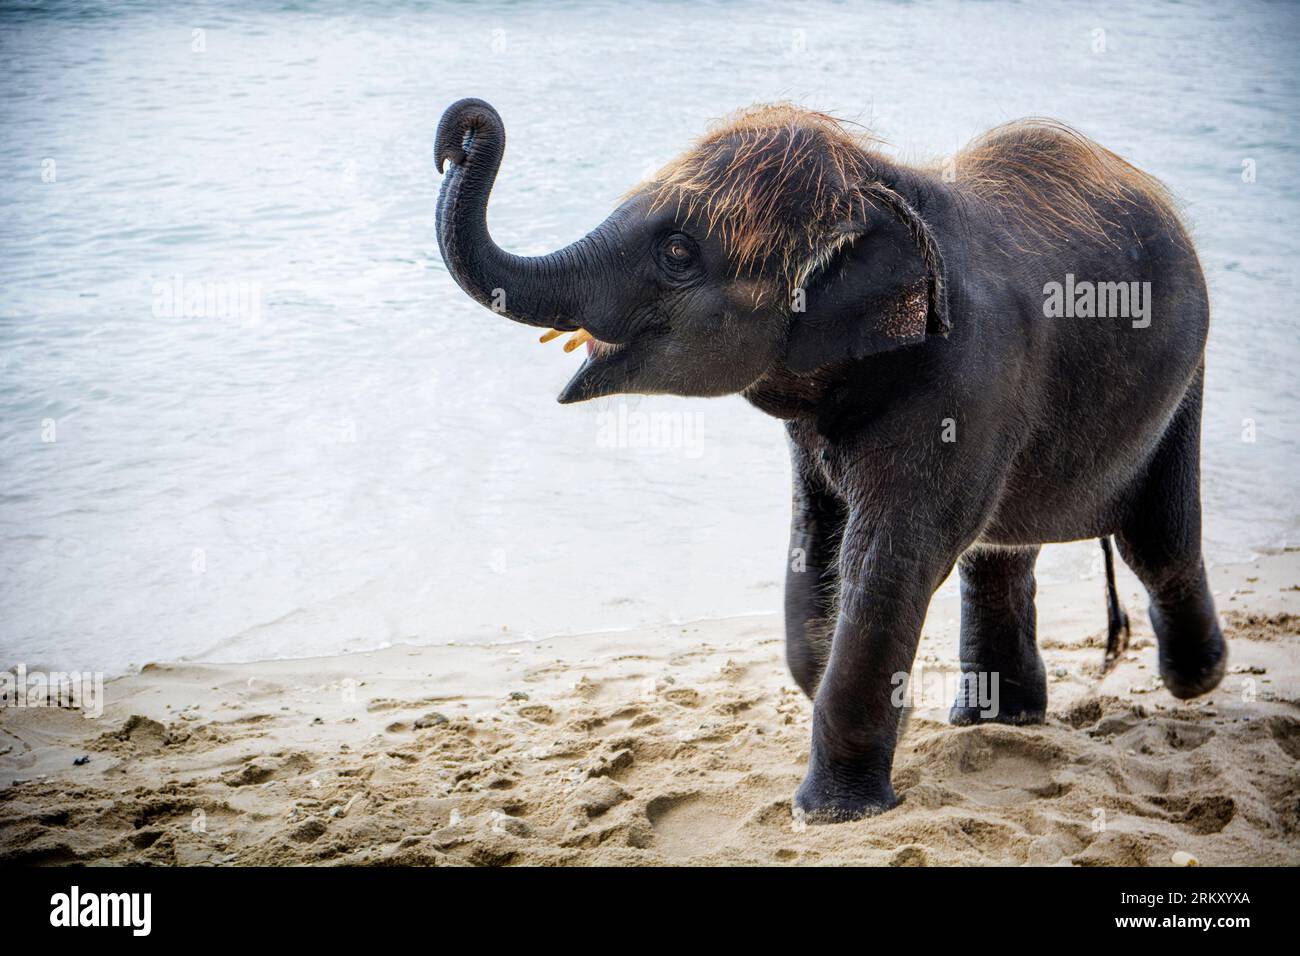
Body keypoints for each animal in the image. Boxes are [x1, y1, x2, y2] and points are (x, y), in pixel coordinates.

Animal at [433, 98, 1225, 822]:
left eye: (678, 254)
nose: (461, 132)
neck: (881, 185)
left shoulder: (972, 374)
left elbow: (889, 558)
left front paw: (830, 814)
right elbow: (815, 536)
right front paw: (828, 683)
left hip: (1183, 382)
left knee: (1155, 541)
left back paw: (1197, 682)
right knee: (1000, 552)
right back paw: (999, 721)